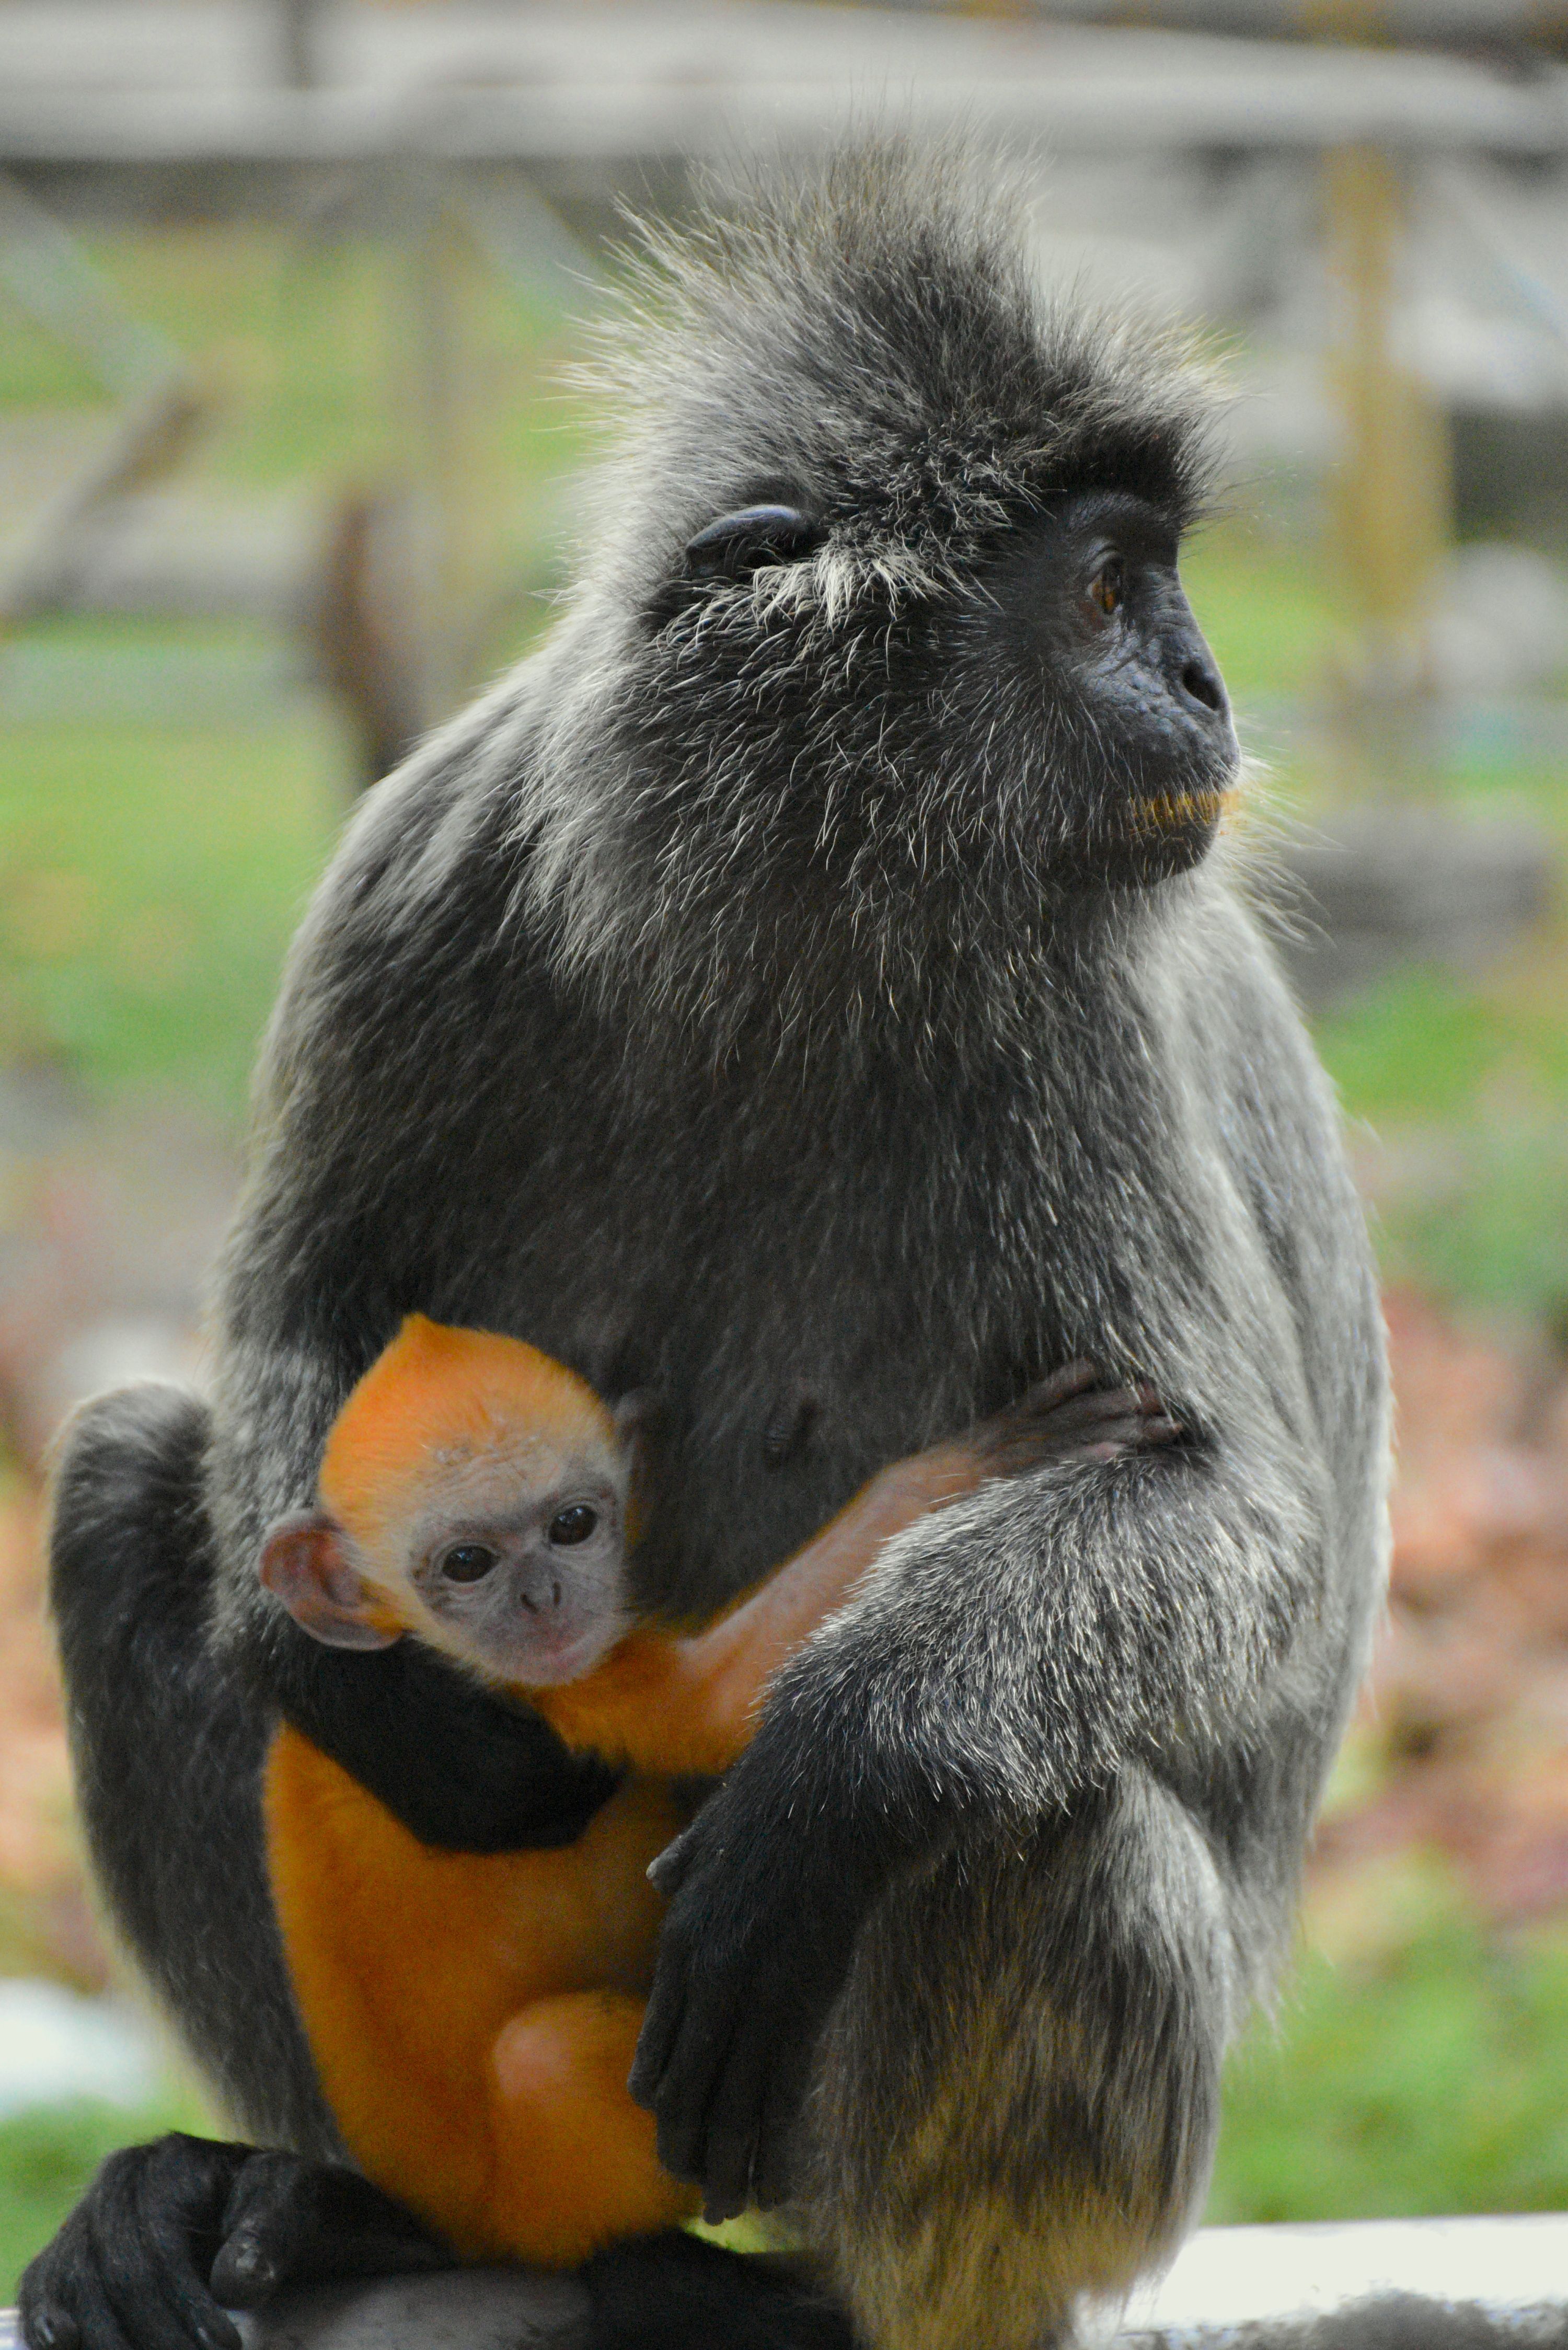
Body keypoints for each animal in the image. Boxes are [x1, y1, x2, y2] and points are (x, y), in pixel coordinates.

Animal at [257, 1314, 1177, 2271]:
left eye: (573, 1524)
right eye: (467, 1562)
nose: (544, 1598)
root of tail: (457, 2227)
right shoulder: (555, 1694)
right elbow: (711, 1706)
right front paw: (964, 1467)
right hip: (534, 2202)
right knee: (546, 2060)